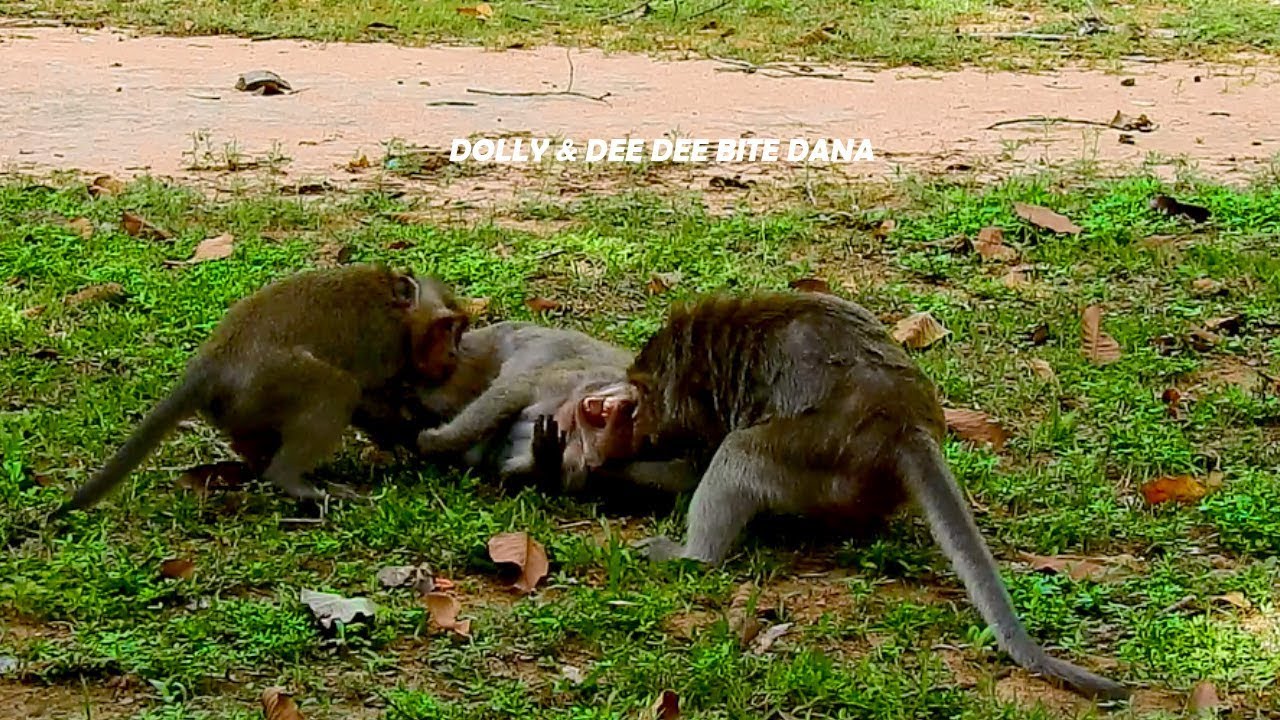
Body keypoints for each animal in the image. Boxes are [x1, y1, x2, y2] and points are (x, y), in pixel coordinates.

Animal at [58, 263, 469, 514]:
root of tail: (209, 365)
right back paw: (289, 478)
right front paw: (411, 440)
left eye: (459, 329)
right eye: (446, 327)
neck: (398, 309)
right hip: (272, 381)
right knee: (335, 388)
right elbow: (369, 400)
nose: (452, 353)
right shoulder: (383, 343)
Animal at [565, 291, 1129, 701]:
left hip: (815, 451)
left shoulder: (691, 410)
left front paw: (607, 469)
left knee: (741, 454)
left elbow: (693, 466)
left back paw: (692, 555)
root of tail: (901, 424)